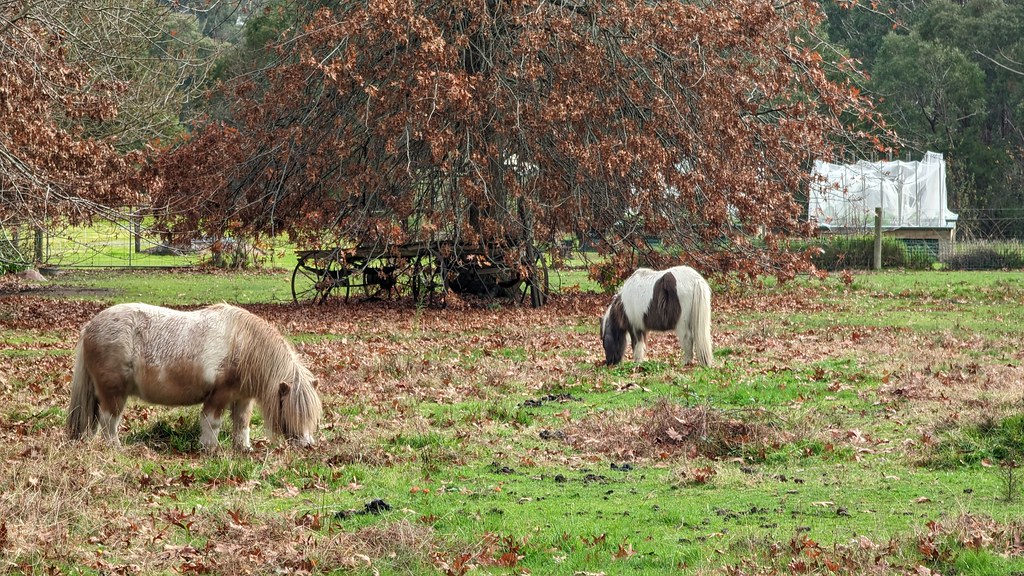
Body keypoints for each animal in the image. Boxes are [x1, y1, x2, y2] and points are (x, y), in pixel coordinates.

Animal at [66, 303, 322, 451]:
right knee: (109, 421)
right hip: (114, 393)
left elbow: (242, 423)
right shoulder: (220, 395)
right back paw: (116, 448)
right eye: (295, 411)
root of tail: (90, 326)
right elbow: (212, 422)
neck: (242, 344)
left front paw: (244, 449)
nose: (308, 445)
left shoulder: (243, 398)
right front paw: (210, 449)